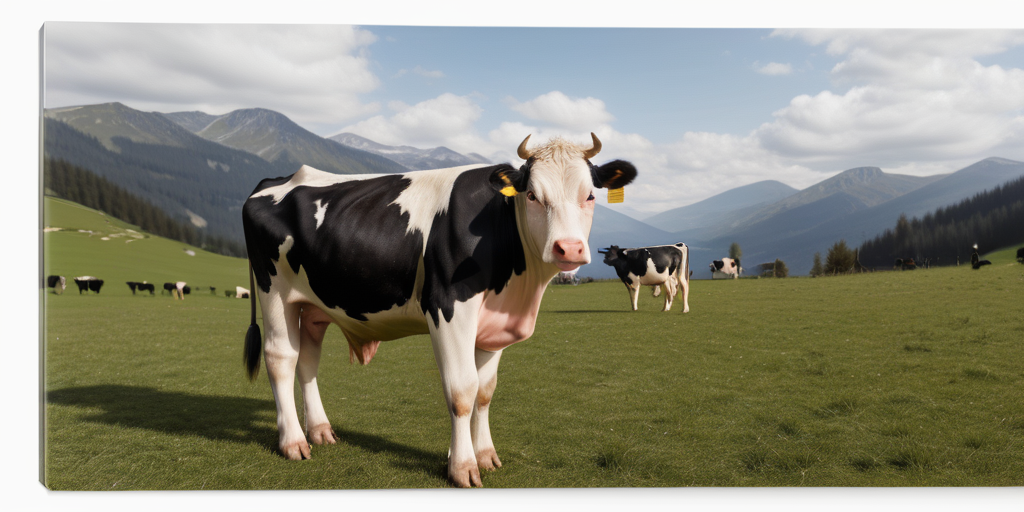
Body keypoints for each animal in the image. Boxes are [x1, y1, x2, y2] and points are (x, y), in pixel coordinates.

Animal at [241, 133, 636, 487]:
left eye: (589, 195)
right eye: (533, 195)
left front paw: (485, 455)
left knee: (307, 359)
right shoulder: (448, 307)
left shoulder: (496, 323)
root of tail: (274, 181)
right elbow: (462, 390)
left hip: (313, 305)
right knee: (281, 358)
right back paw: (293, 442)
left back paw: (320, 431)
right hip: (274, 291)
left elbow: (485, 391)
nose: (569, 249)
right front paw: (462, 467)